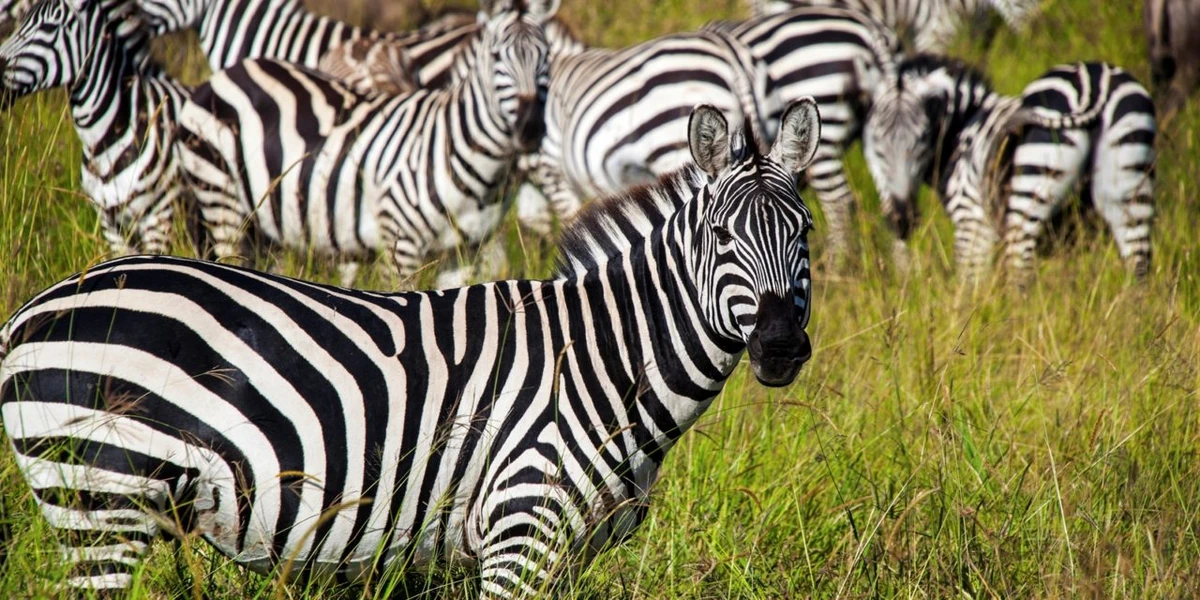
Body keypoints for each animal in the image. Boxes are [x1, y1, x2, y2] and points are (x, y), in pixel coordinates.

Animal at [0, 99, 822, 596]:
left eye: (804, 233)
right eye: (722, 237)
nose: (780, 347)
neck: (603, 364)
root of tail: (34, 310)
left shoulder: (561, 554)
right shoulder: (520, 530)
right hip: (100, 501)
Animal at [178, 0, 556, 288]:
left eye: (546, 58)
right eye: (496, 57)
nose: (531, 128)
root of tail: (225, 75)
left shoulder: (463, 253)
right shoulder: (400, 244)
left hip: (265, 227)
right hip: (220, 196)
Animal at [859, 55, 1156, 281]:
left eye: (922, 140)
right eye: (876, 148)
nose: (901, 221)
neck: (963, 125)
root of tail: (1093, 82)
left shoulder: (973, 220)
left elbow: (970, 284)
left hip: (1032, 185)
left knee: (1019, 270)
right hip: (1130, 183)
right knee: (1139, 267)